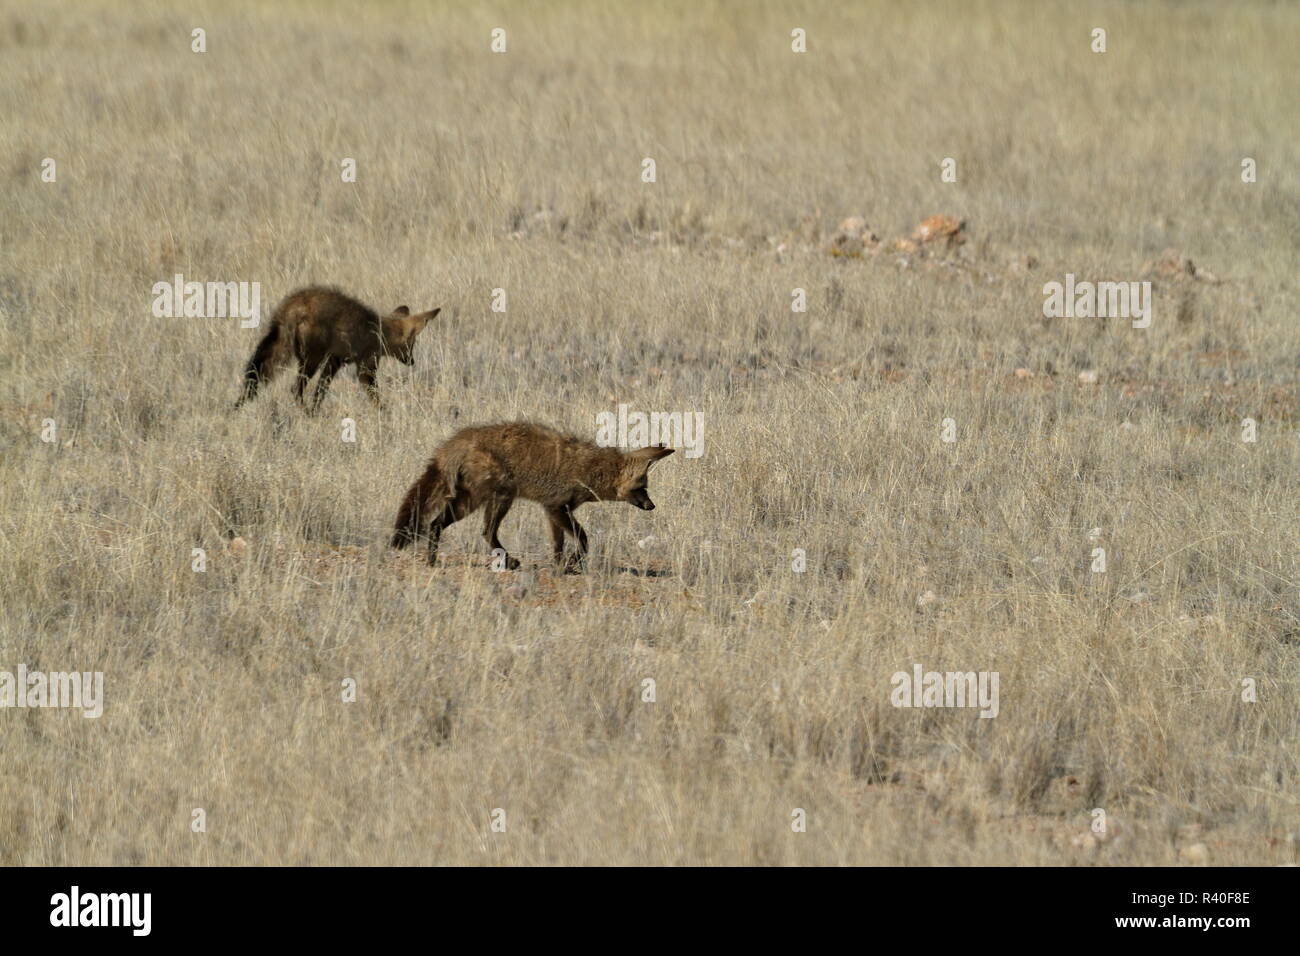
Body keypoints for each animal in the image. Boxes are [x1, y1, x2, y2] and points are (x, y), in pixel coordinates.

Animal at [235, 286, 440, 411]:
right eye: (411, 344)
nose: (412, 361)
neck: (380, 329)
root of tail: (295, 306)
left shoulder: (334, 362)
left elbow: (320, 393)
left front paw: (316, 412)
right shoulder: (365, 369)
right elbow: (376, 398)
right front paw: (384, 414)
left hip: (278, 352)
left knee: (253, 379)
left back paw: (238, 407)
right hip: (311, 359)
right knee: (295, 389)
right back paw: (304, 413)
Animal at [391, 421, 675, 572]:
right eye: (642, 487)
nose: (652, 506)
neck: (594, 469)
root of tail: (461, 438)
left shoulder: (554, 511)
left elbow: (558, 544)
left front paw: (561, 566)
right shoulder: (556, 508)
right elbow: (583, 539)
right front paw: (572, 561)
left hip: (472, 501)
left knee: (437, 524)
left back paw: (432, 560)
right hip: (497, 499)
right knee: (485, 531)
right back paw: (508, 560)